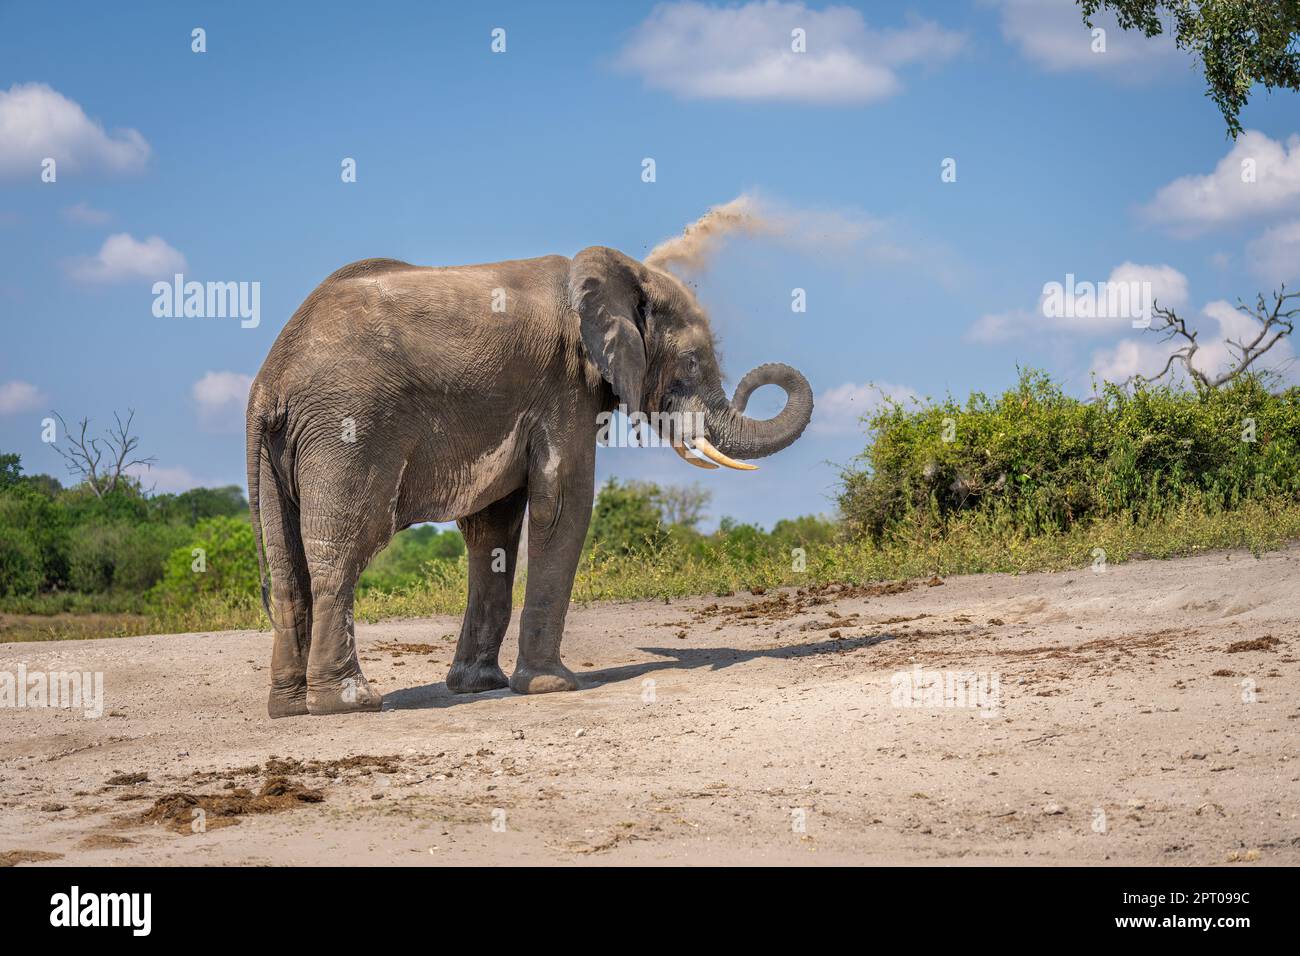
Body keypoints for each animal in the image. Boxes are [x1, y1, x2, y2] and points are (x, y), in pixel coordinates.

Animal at [245, 246, 813, 717]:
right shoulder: (563, 386)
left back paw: (289, 708)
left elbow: (492, 527)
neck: (618, 272)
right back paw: (349, 703)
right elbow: (562, 504)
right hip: (350, 428)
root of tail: (271, 380)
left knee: (287, 564)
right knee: (343, 550)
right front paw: (553, 687)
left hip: (282, 453)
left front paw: (480, 686)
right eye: (691, 363)